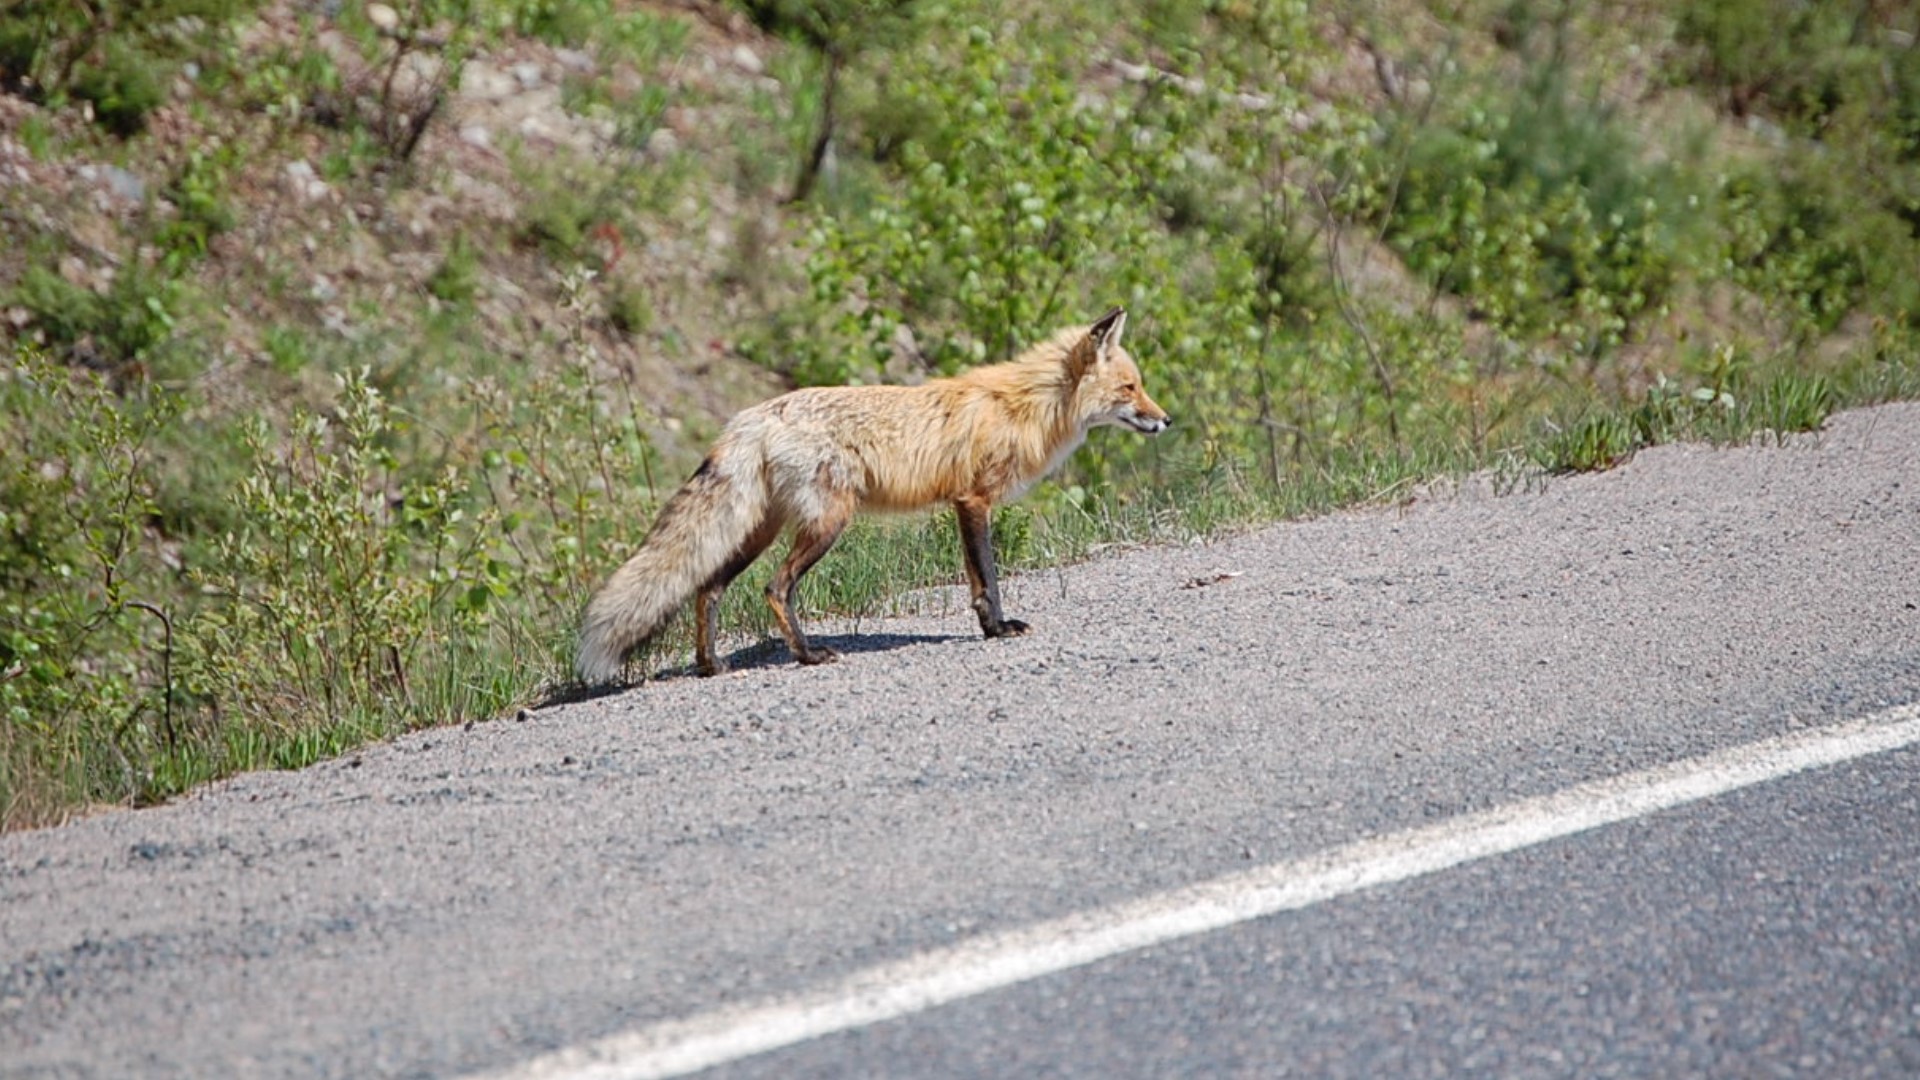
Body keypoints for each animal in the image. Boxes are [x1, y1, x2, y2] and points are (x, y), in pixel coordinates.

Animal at [575, 306, 1170, 684]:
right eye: (1130, 388)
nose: (1166, 420)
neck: (1025, 405)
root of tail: (754, 415)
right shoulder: (973, 500)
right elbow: (988, 579)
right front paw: (998, 628)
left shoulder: (963, 503)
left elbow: (978, 580)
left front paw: (990, 629)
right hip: (827, 522)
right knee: (774, 588)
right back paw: (807, 655)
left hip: (758, 529)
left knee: (707, 588)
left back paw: (711, 666)